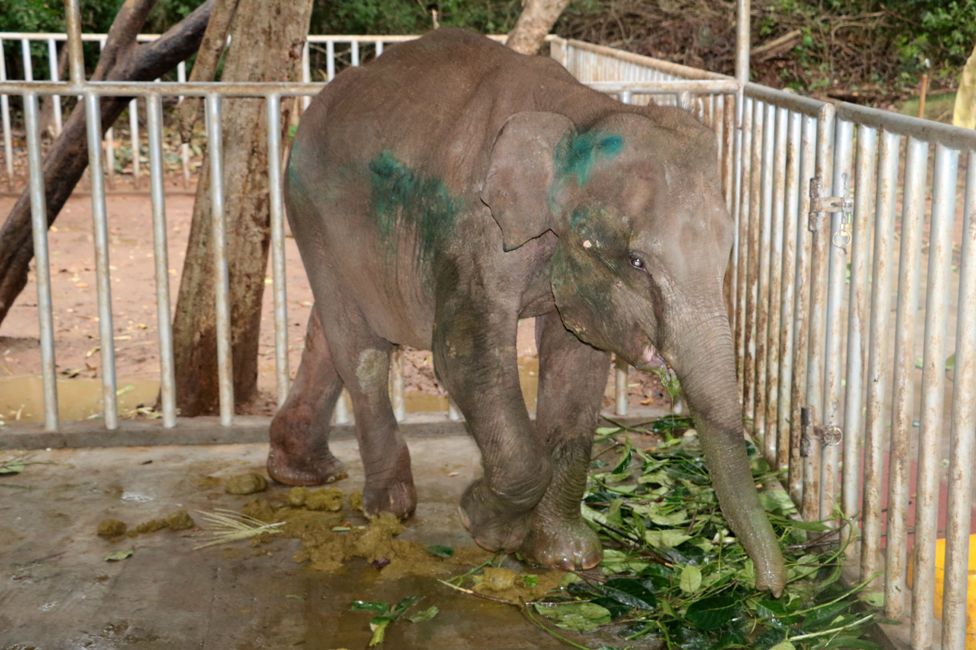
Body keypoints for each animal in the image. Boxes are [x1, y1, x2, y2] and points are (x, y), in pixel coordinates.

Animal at [267, 28, 786, 596]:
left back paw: (301, 473)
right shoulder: (475, 228)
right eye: (637, 261)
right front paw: (483, 522)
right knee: (361, 349)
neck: (582, 114)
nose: (769, 588)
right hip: (310, 205)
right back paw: (388, 510)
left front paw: (565, 557)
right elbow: (463, 356)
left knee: (328, 331)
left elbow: (578, 364)